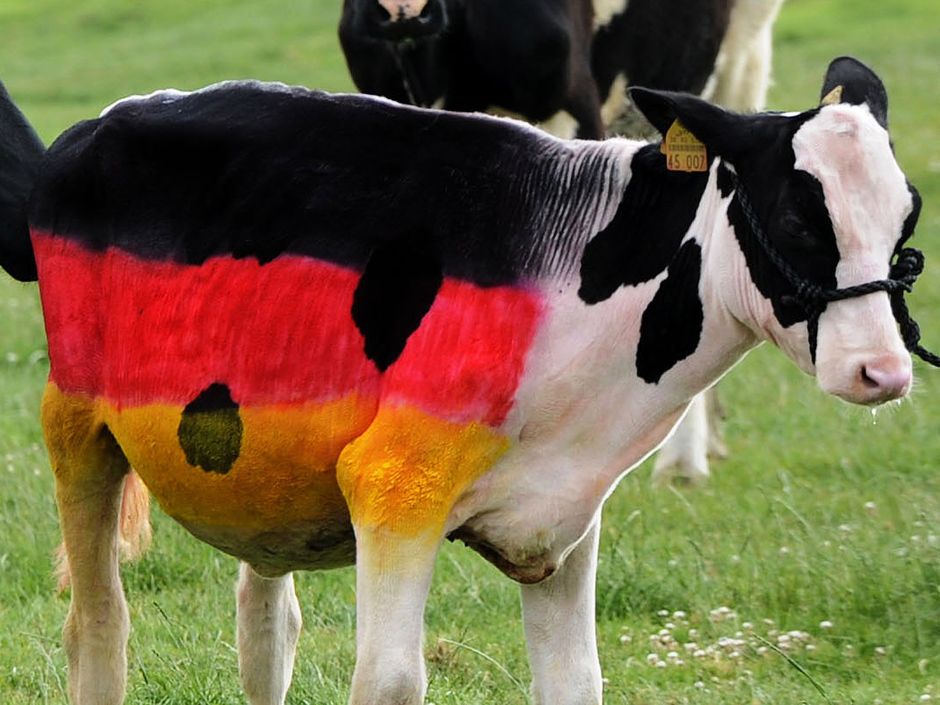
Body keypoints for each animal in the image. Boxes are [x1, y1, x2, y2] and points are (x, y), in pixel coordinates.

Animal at [0, 57, 930, 705]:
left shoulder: (564, 512)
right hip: (75, 424)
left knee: (265, 628)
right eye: (797, 217)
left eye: (905, 224)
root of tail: (92, 132)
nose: (882, 369)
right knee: (98, 624)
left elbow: (576, 681)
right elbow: (389, 679)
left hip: (260, 479)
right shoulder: (394, 485)